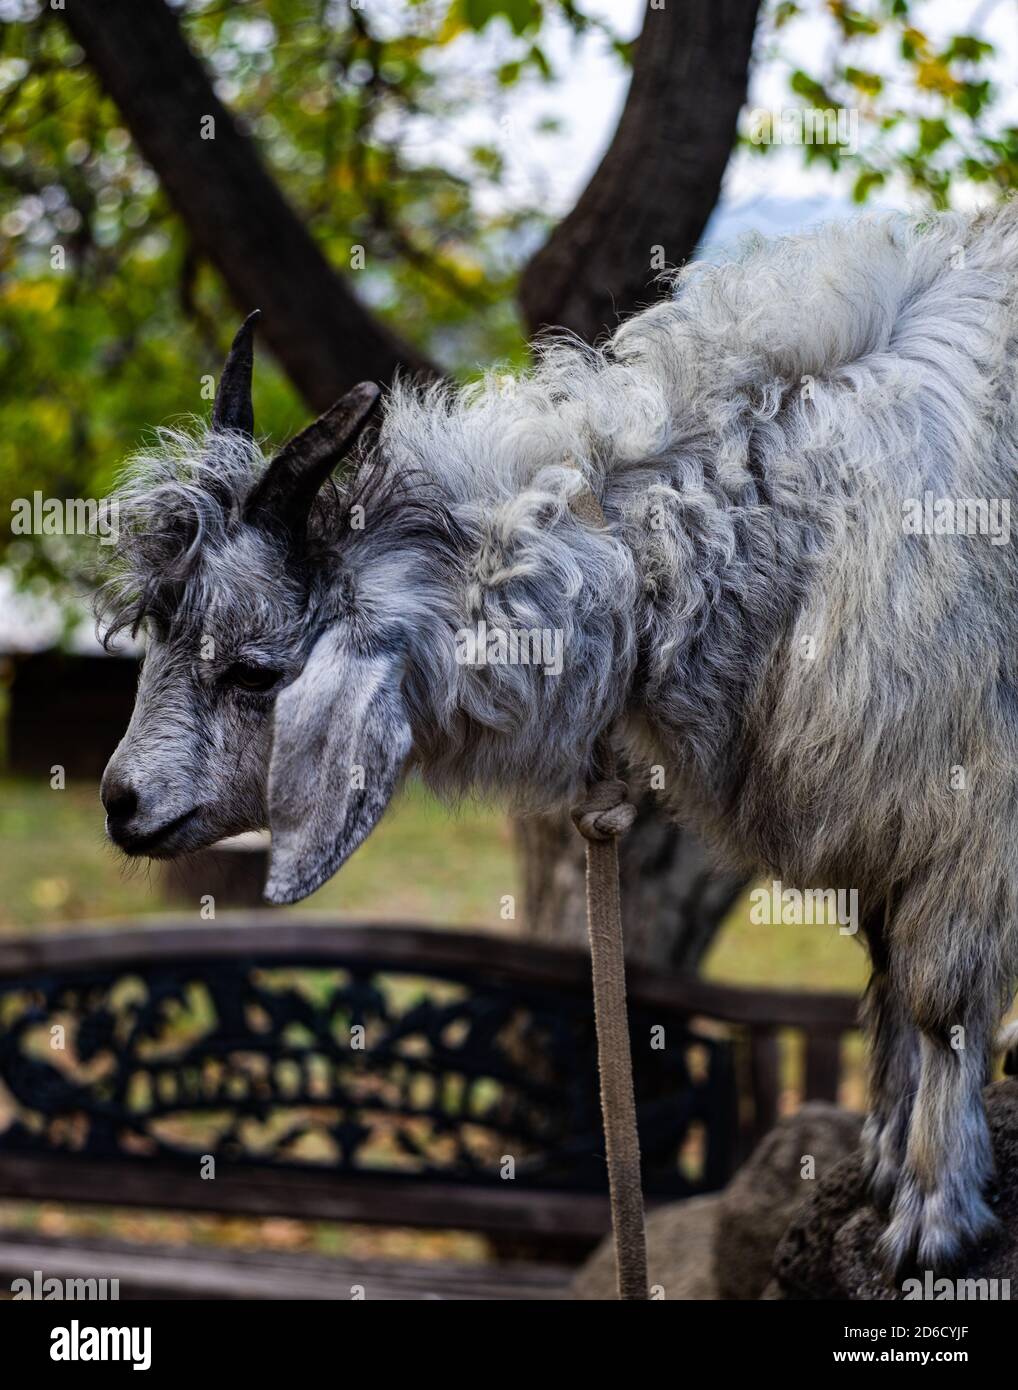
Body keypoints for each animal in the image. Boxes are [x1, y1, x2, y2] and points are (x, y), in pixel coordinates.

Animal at [98, 203, 1018, 1279]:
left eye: (250, 669)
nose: (121, 802)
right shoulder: (881, 797)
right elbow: (886, 979)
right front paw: (882, 1157)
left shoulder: (967, 796)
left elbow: (935, 1001)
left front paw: (933, 1213)